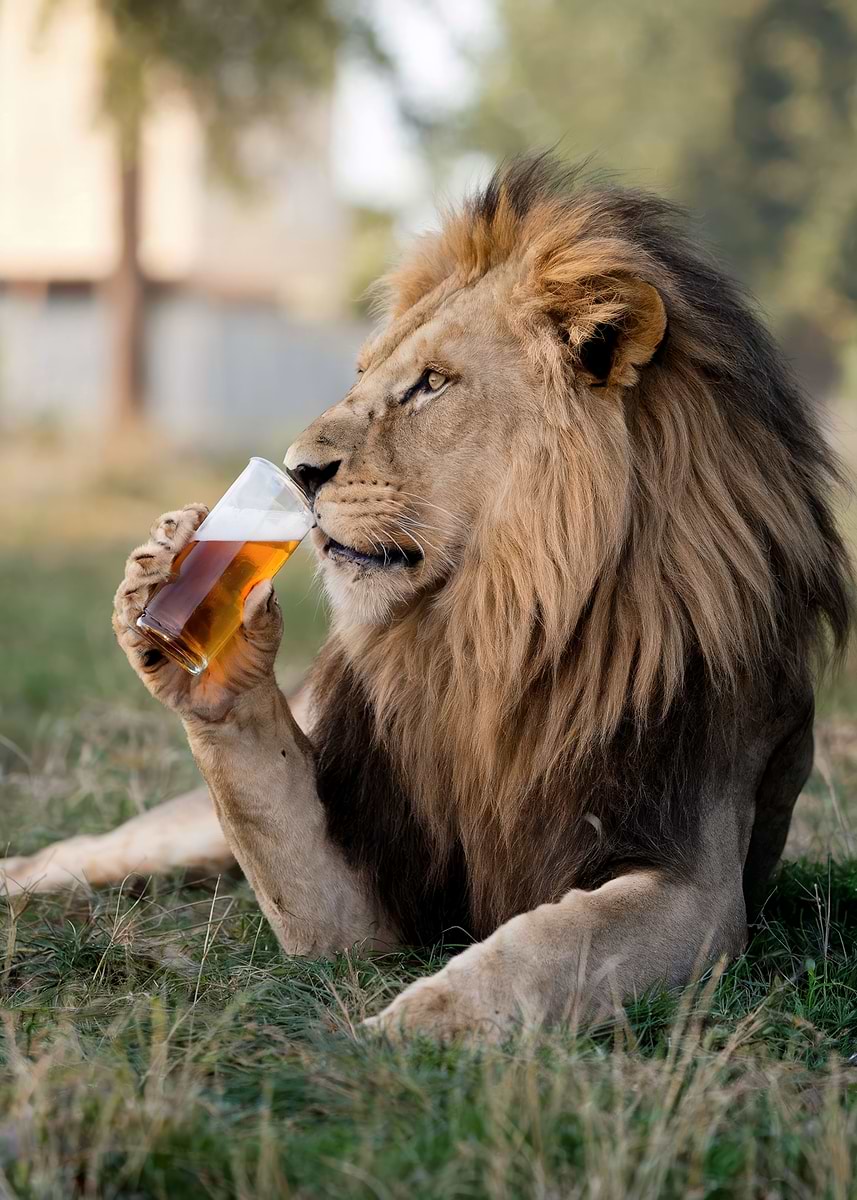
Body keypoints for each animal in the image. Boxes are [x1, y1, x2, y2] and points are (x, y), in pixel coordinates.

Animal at [2, 157, 851, 1039]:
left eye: (432, 384)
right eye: (363, 373)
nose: (296, 471)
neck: (496, 628)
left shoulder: (697, 879)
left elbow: (548, 947)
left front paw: (396, 1033)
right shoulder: (375, 889)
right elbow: (271, 822)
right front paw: (179, 602)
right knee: (93, 849)